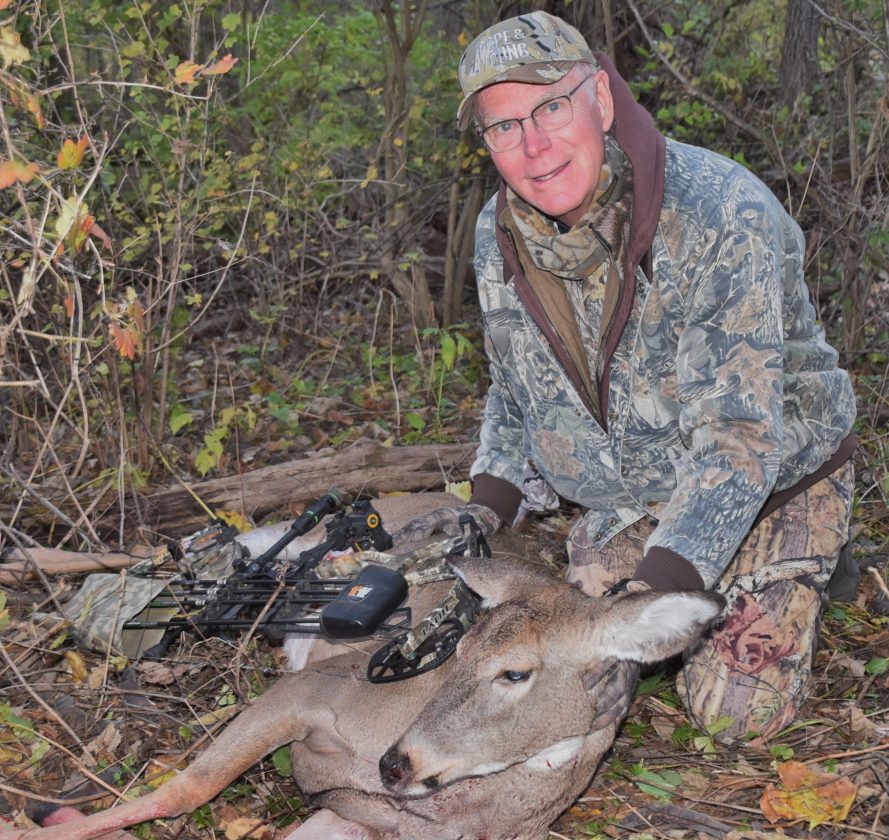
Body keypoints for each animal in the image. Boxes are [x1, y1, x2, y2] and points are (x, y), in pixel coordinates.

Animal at [1, 494, 725, 840]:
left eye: (515, 673)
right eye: (462, 650)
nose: (396, 764)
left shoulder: (365, 820)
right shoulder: (313, 689)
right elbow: (186, 788)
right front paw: (26, 826)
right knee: (168, 553)